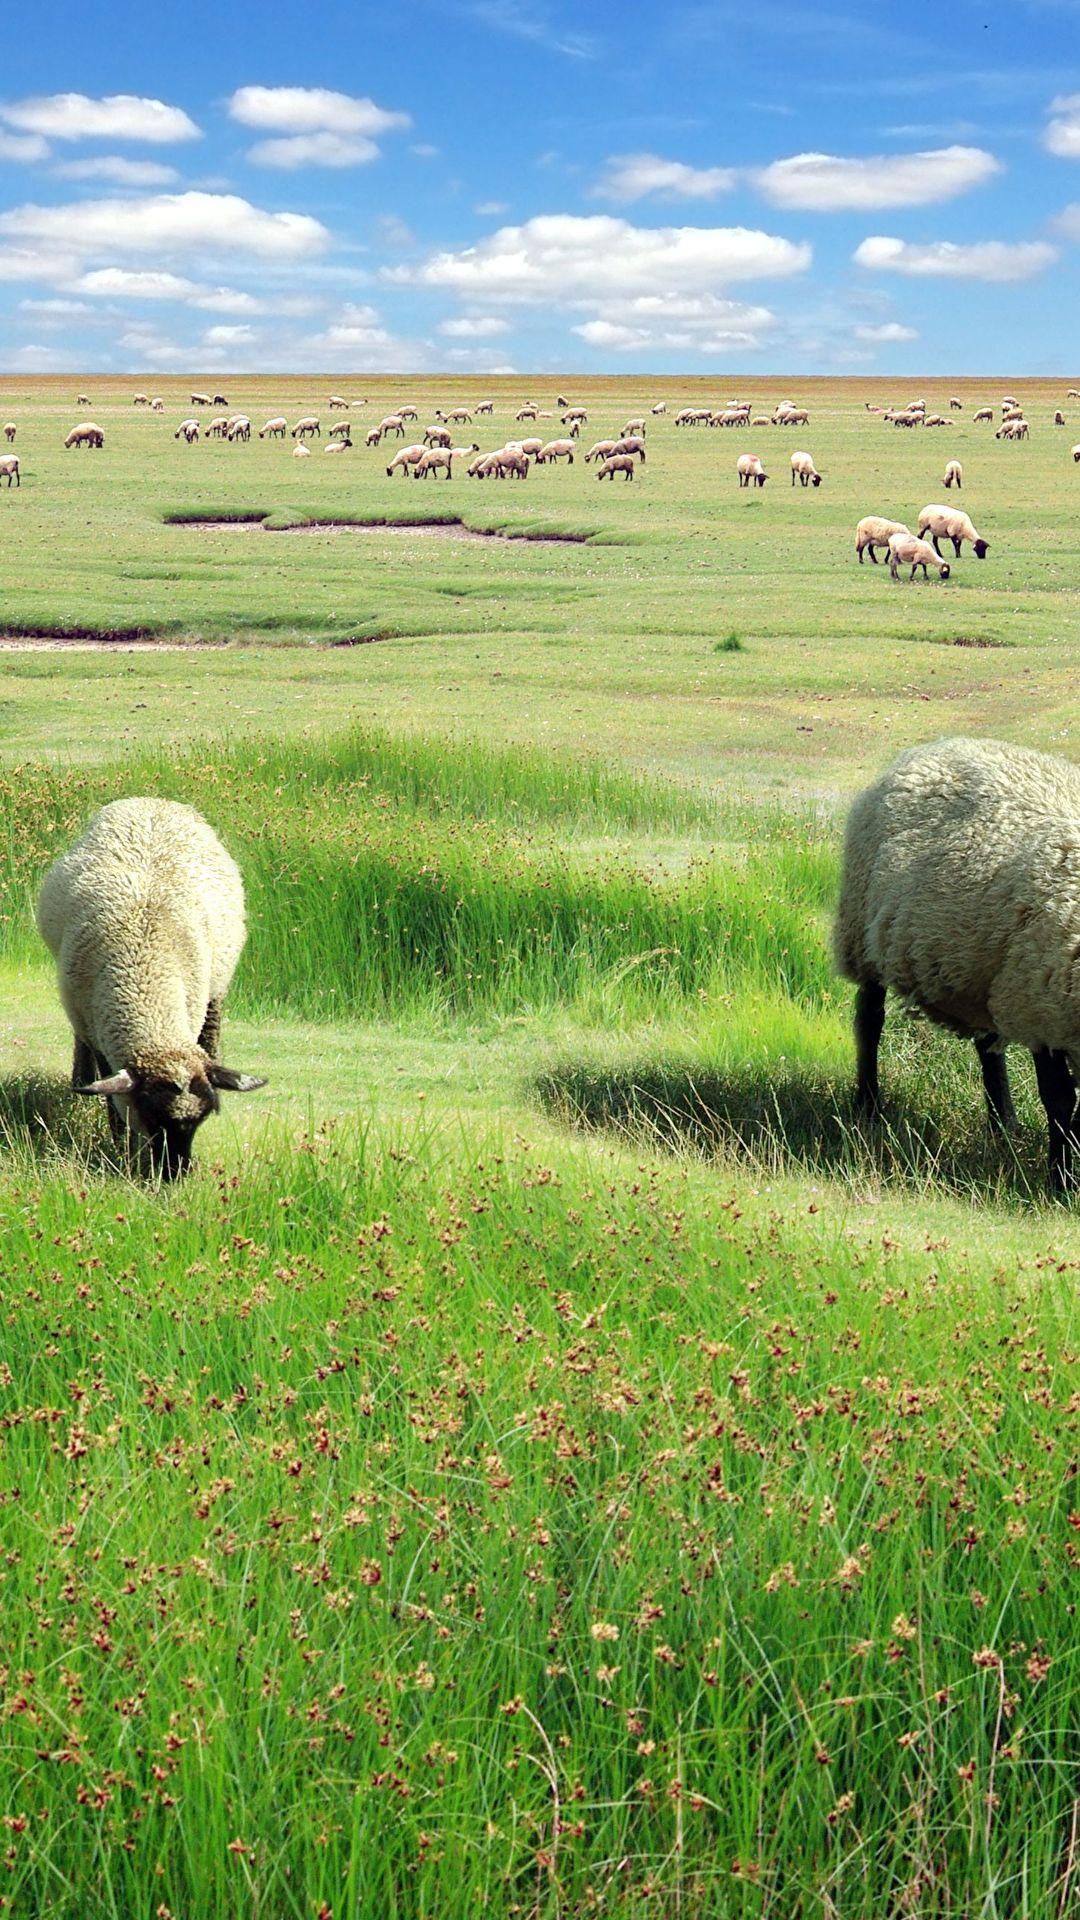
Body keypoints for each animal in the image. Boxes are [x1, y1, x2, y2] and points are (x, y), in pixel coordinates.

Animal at [36, 797, 266, 1181]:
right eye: (150, 1115)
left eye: (201, 1120)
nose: (176, 1174)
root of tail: (153, 801)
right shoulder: (99, 1032)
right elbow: (110, 1097)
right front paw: (120, 1147)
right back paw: (79, 1080)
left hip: (216, 989)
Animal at [833, 735, 1080, 1192]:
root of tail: (933, 746)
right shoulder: (1041, 1010)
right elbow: (1060, 1100)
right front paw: (1061, 1181)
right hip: (864, 934)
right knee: (868, 1021)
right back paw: (868, 1106)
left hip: (979, 964)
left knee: (988, 1047)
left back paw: (1004, 1126)